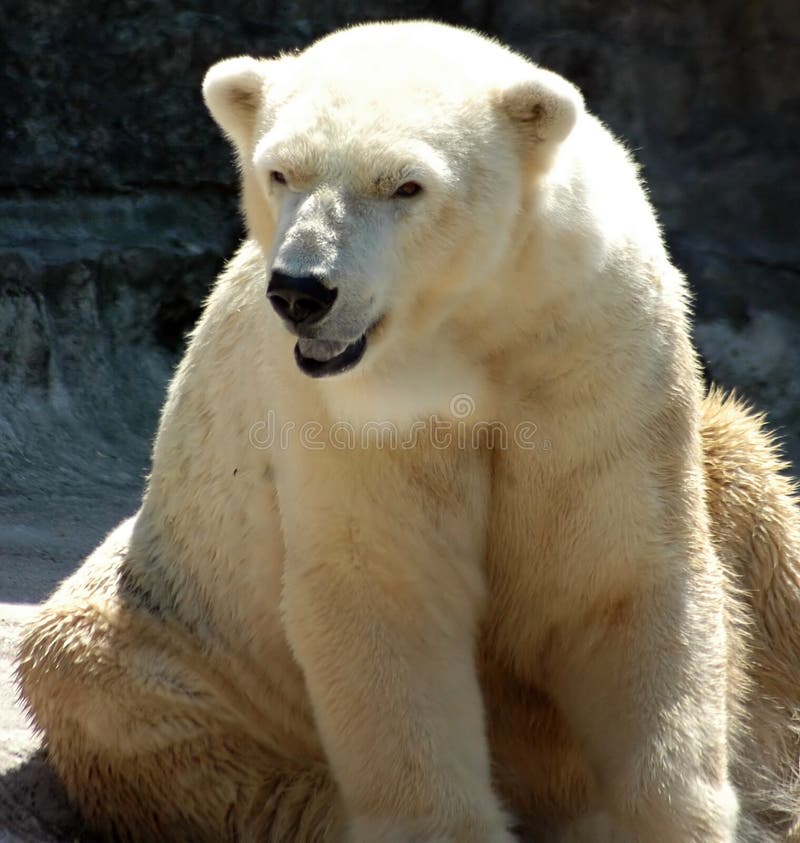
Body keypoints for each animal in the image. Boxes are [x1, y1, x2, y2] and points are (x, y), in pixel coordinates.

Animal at [16, 19, 800, 843]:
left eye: (405, 185)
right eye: (280, 172)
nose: (302, 291)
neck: (465, 328)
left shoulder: (593, 347)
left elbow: (617, 575)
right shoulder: (353, 414)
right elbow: (387, 591)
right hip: (183, 633)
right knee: (122, 697)